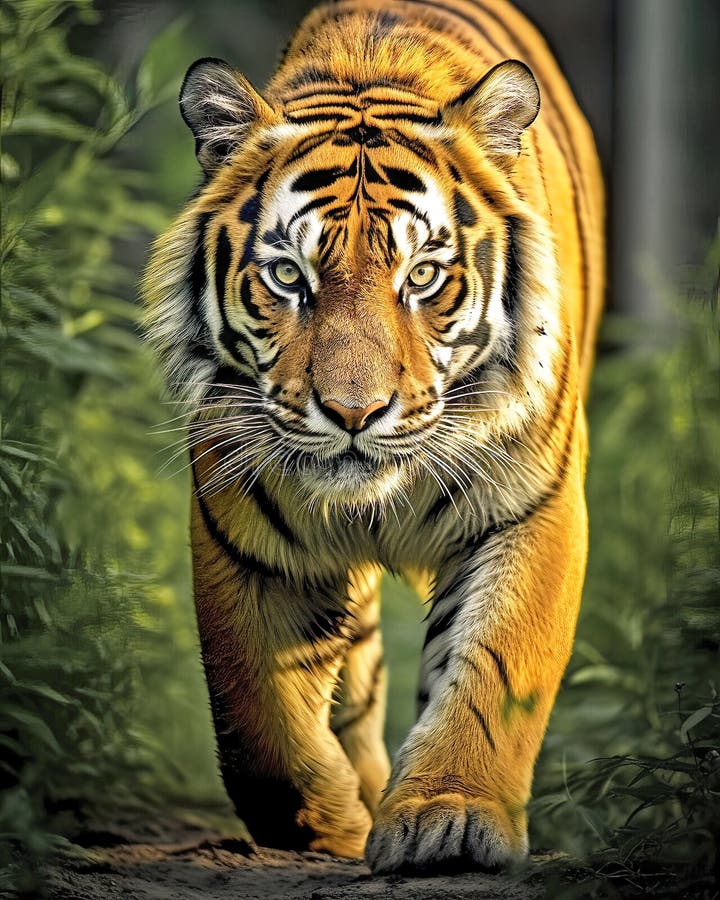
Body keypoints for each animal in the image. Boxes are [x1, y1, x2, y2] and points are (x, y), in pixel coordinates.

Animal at [142, 0, 604, 873]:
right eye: (288, 275)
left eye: (421, 276)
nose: (354, 413)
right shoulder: (242, 533)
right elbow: (256, 715)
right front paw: (326, 827)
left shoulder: (531, 505)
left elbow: (494, 670)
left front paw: (449, 818)